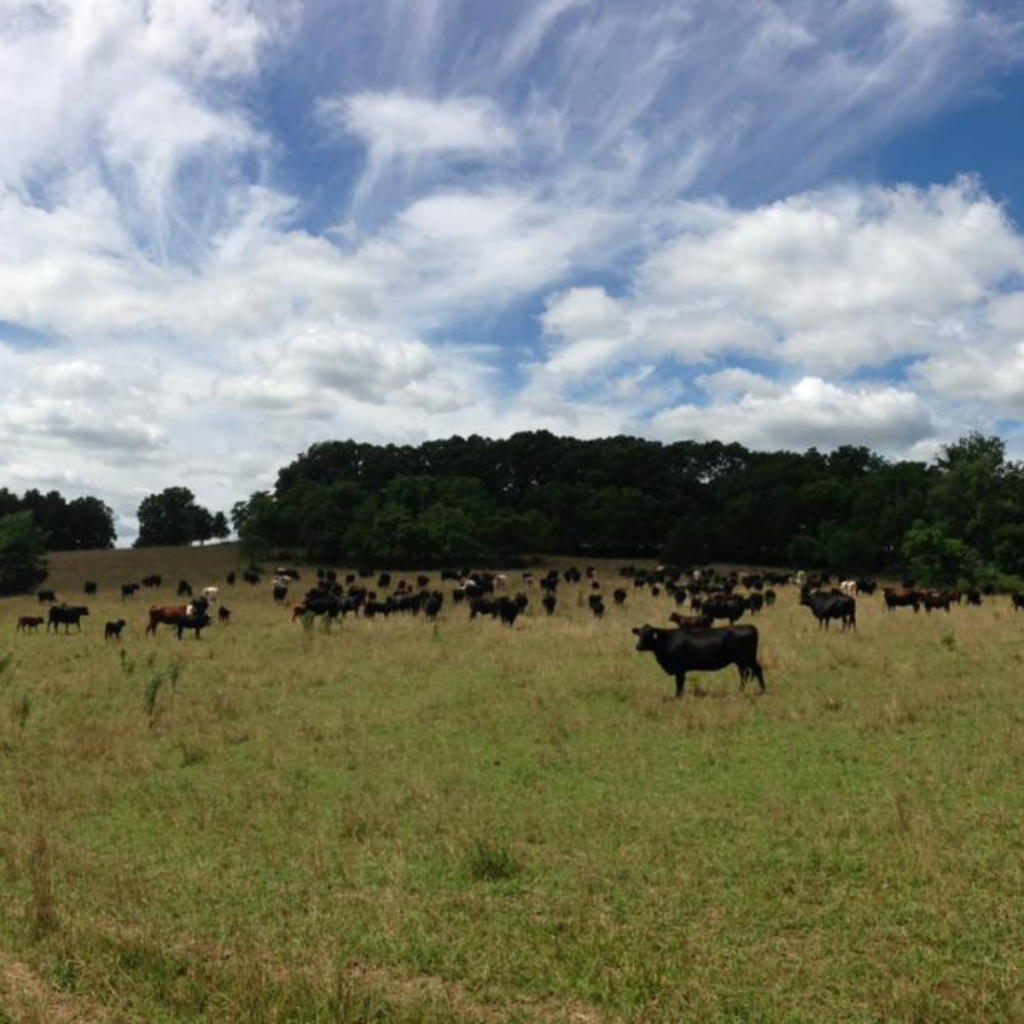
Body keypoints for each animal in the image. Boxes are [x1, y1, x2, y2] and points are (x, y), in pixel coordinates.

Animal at [632, 624, 765, 698]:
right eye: (639, 634)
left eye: (648, 635)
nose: (638, 646)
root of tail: (749, 626)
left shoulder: (680, 669)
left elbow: (679, 683)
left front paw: (677, 697)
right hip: (741, 661)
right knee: (744, 675)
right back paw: (740, 691)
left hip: (747, 658)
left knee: (757, 670)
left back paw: (762, 691)